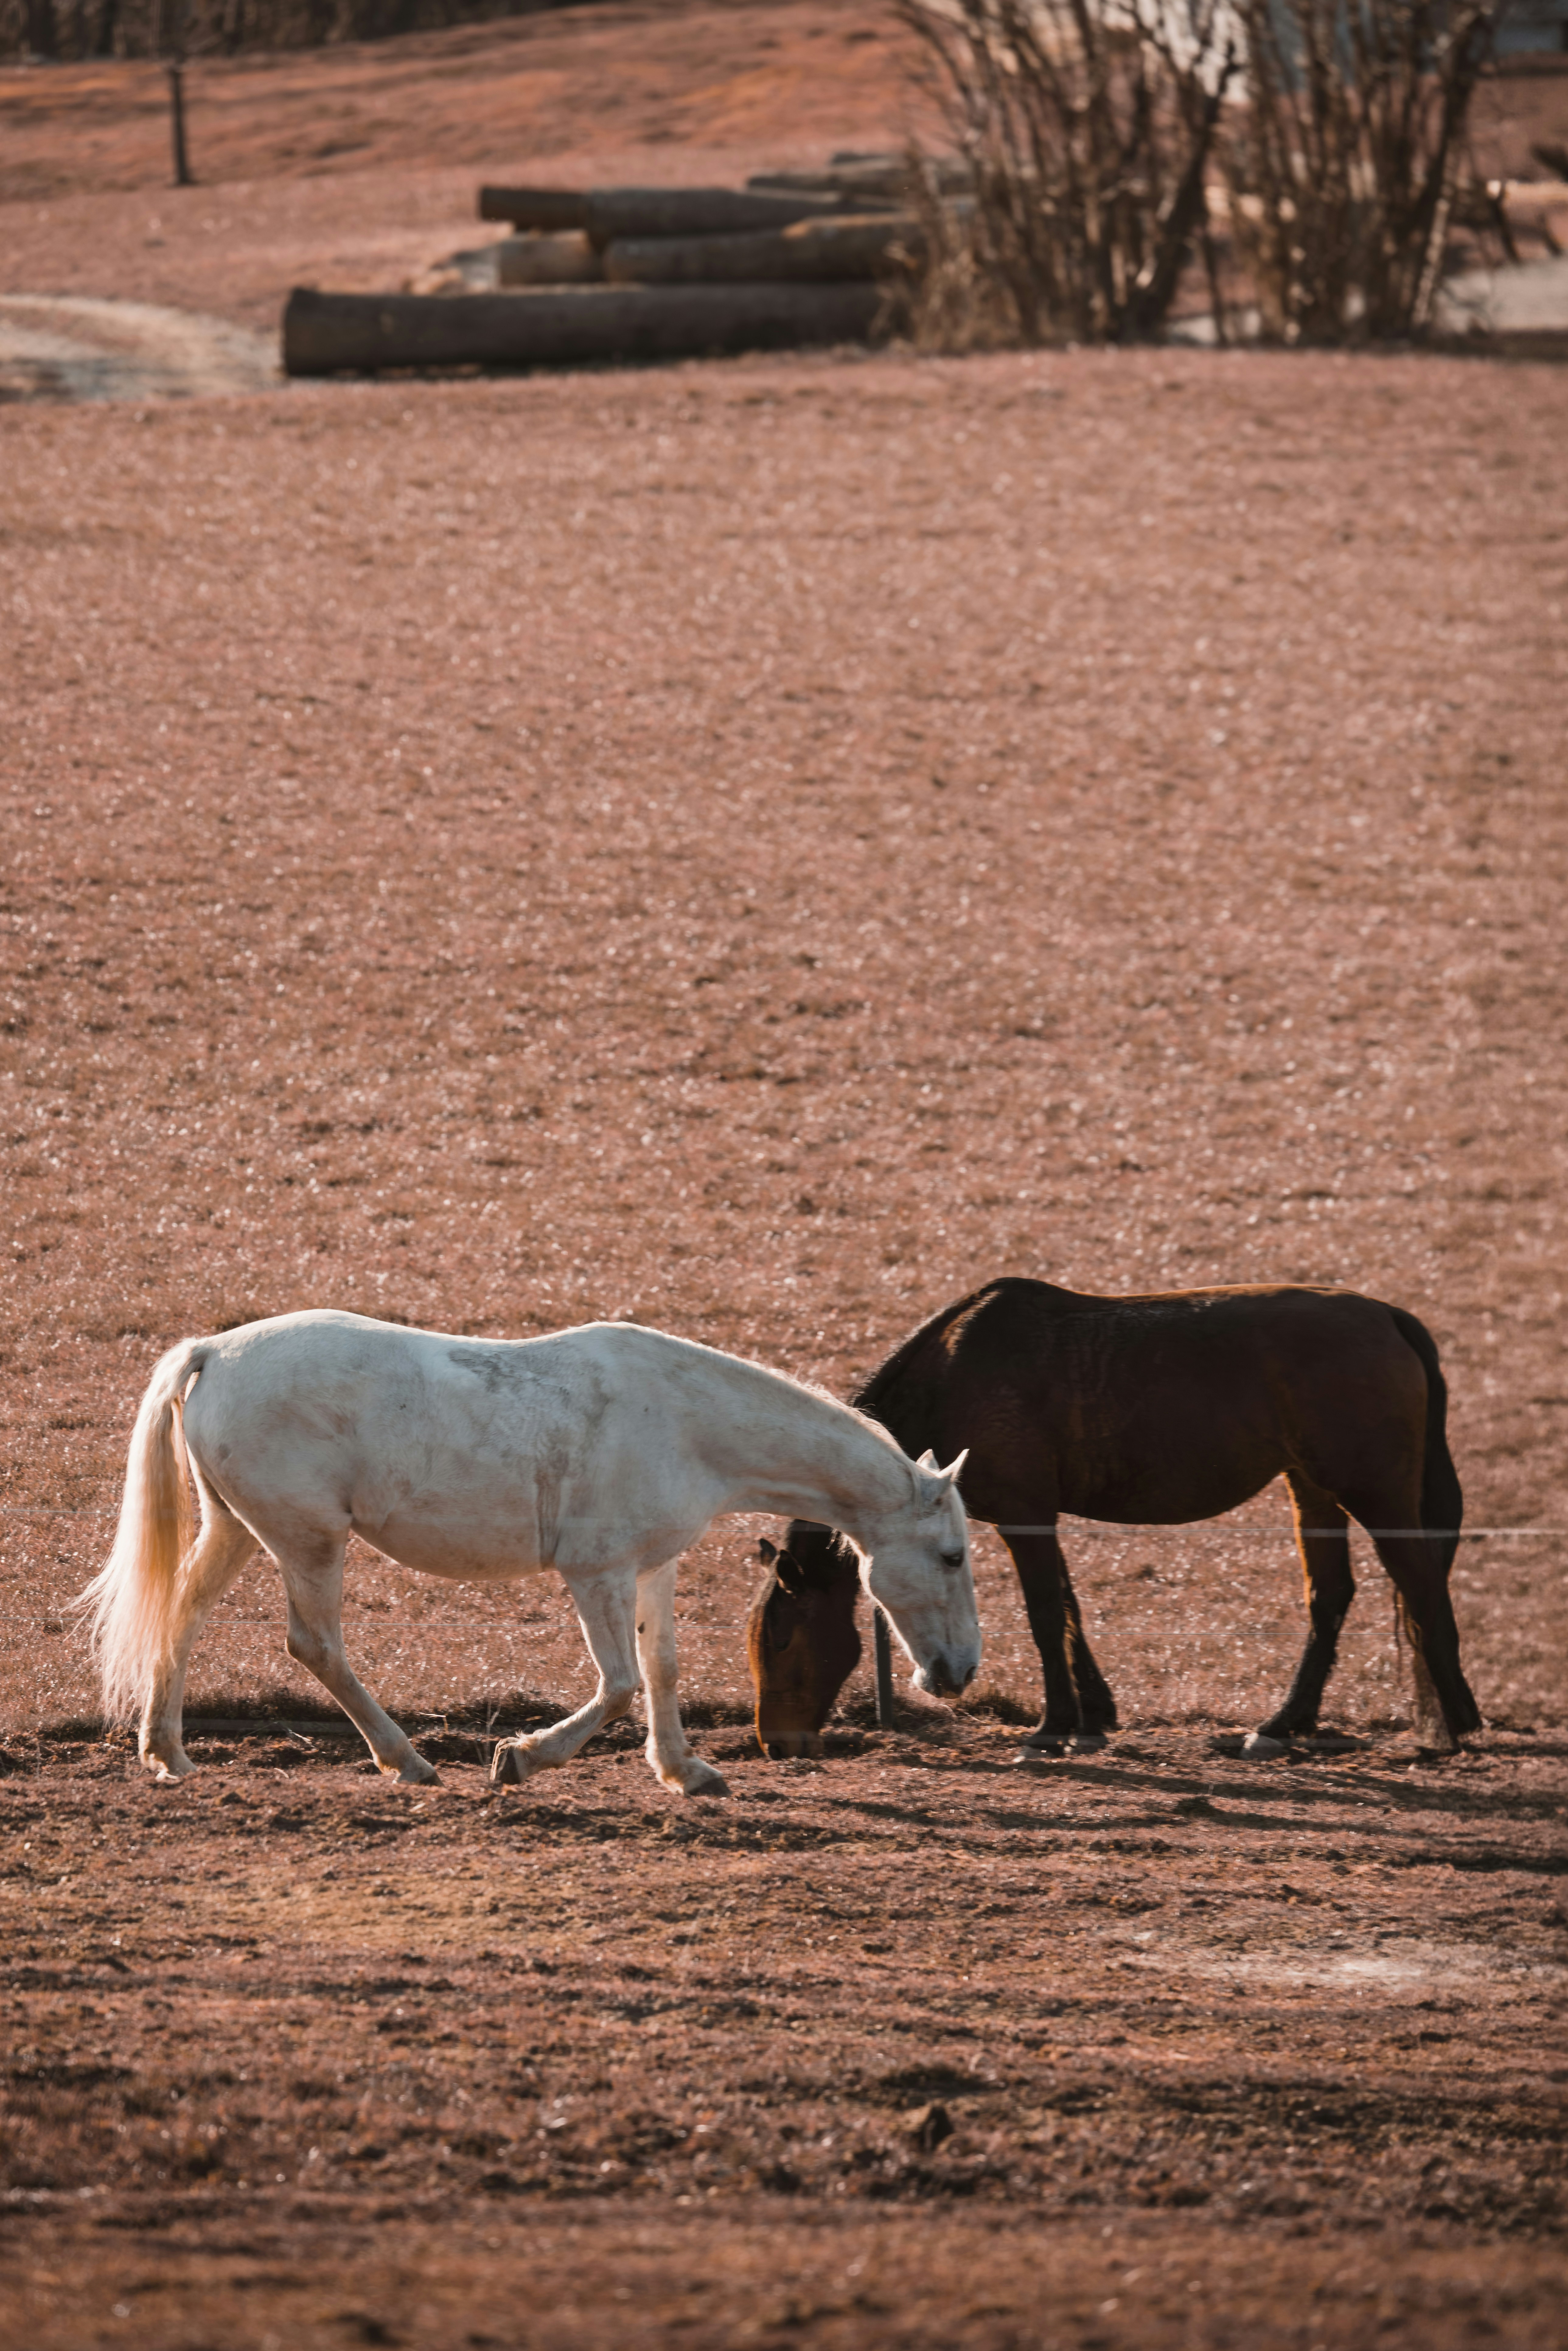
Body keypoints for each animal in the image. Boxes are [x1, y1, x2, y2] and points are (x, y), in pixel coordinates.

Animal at [79, 1310, 979, 1796]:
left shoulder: (651, 1567)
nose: (959, 1672)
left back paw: (168, 1752)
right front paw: (520, 1757)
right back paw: (406, 1758)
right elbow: (617, 1684)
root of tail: (213, 1351)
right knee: (317, 1644)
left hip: (237, 1526)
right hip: (308, 1540)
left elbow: (660, 1671)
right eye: (951, 1555)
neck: (686, 1420)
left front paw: (685, 1770)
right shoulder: (595, 1572)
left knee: (182, 1610)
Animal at [747, 1277, 1479, 1760]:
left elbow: (1047, 1613)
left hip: (1373, 1492)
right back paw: (1285, 1722)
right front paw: (1094, 1713)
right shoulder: (1038, 1519)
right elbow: (1070, 1612)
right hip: (1313, 1489)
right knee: (1330, 1596)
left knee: (1420, 1585)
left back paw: (1456, 1724)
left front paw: (1054, 1723)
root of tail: (1387, 1315)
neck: (955, 1374)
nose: (775, 1743)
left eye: (781, 1639)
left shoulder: (1026, 1517)